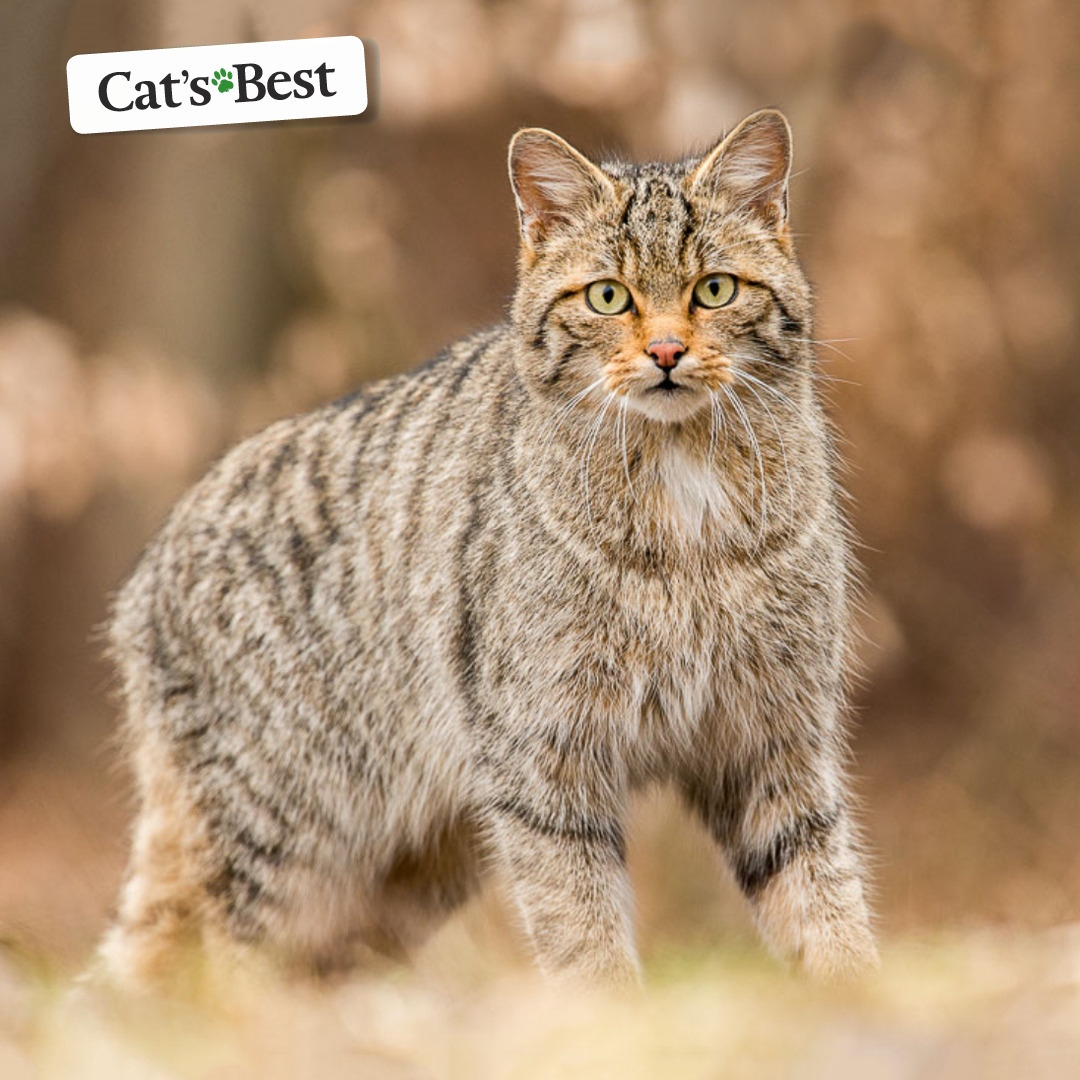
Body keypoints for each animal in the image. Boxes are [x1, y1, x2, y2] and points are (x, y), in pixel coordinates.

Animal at [99, 107, 876, 989]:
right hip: (282, 833)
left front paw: (856, 988)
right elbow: (581, 924)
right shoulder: (544, 753)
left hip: (404, 868)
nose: (667, 353)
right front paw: (610, 1009)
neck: (686, 498)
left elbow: (821, 891)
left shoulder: (772, 735)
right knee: (209, 972)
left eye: (714, 289)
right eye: (608, 296)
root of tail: (146, 575)